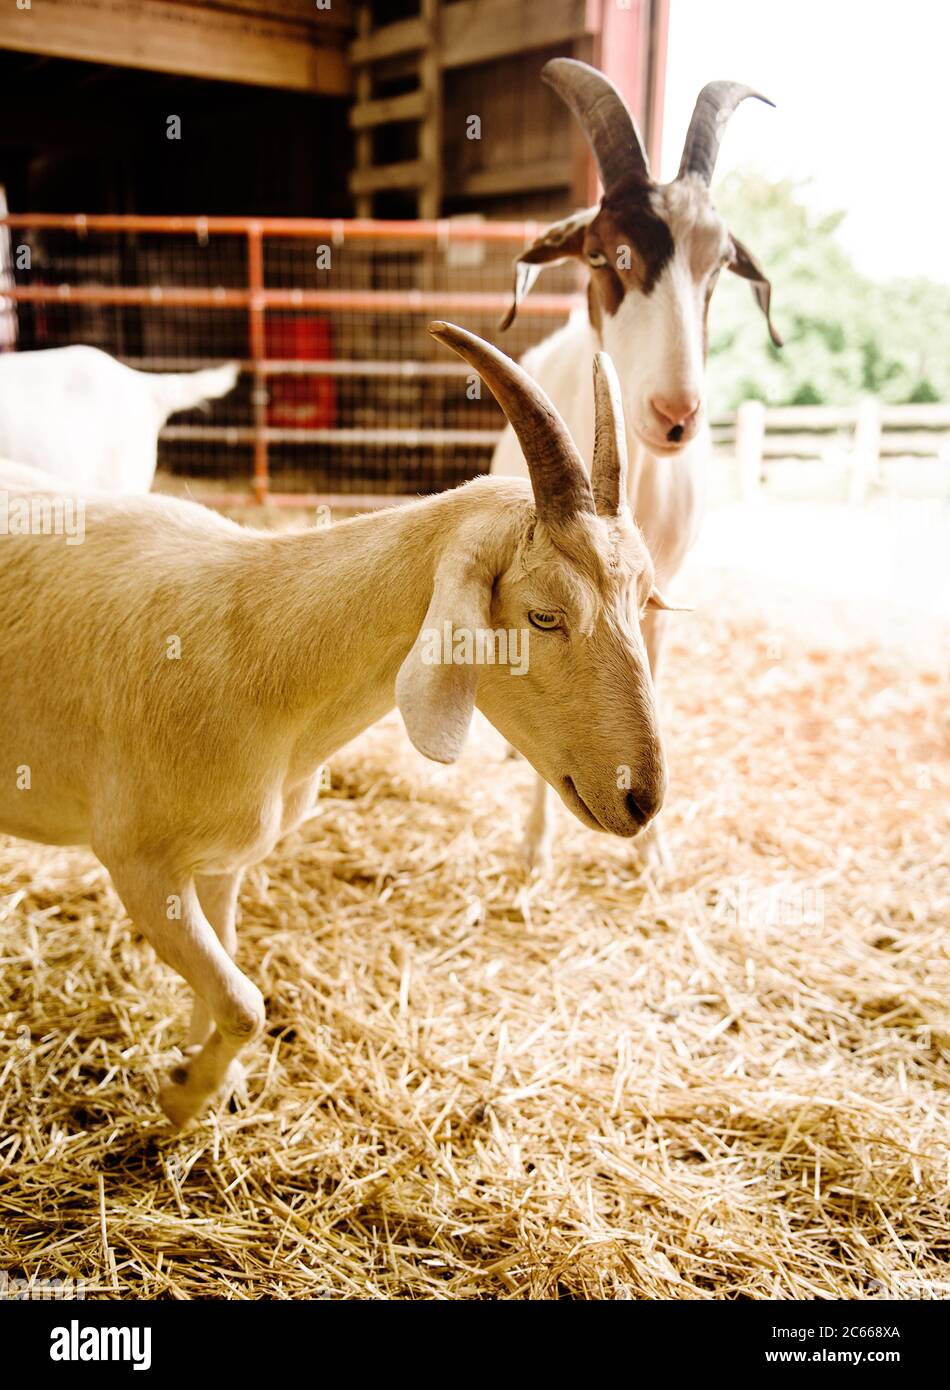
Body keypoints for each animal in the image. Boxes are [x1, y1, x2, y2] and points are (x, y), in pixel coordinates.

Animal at [492, 59, 781, 873]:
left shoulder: (658, 596)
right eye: (603, 254)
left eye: (719, 265)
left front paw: (655, 853)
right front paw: (535, 845)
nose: (675, 412)